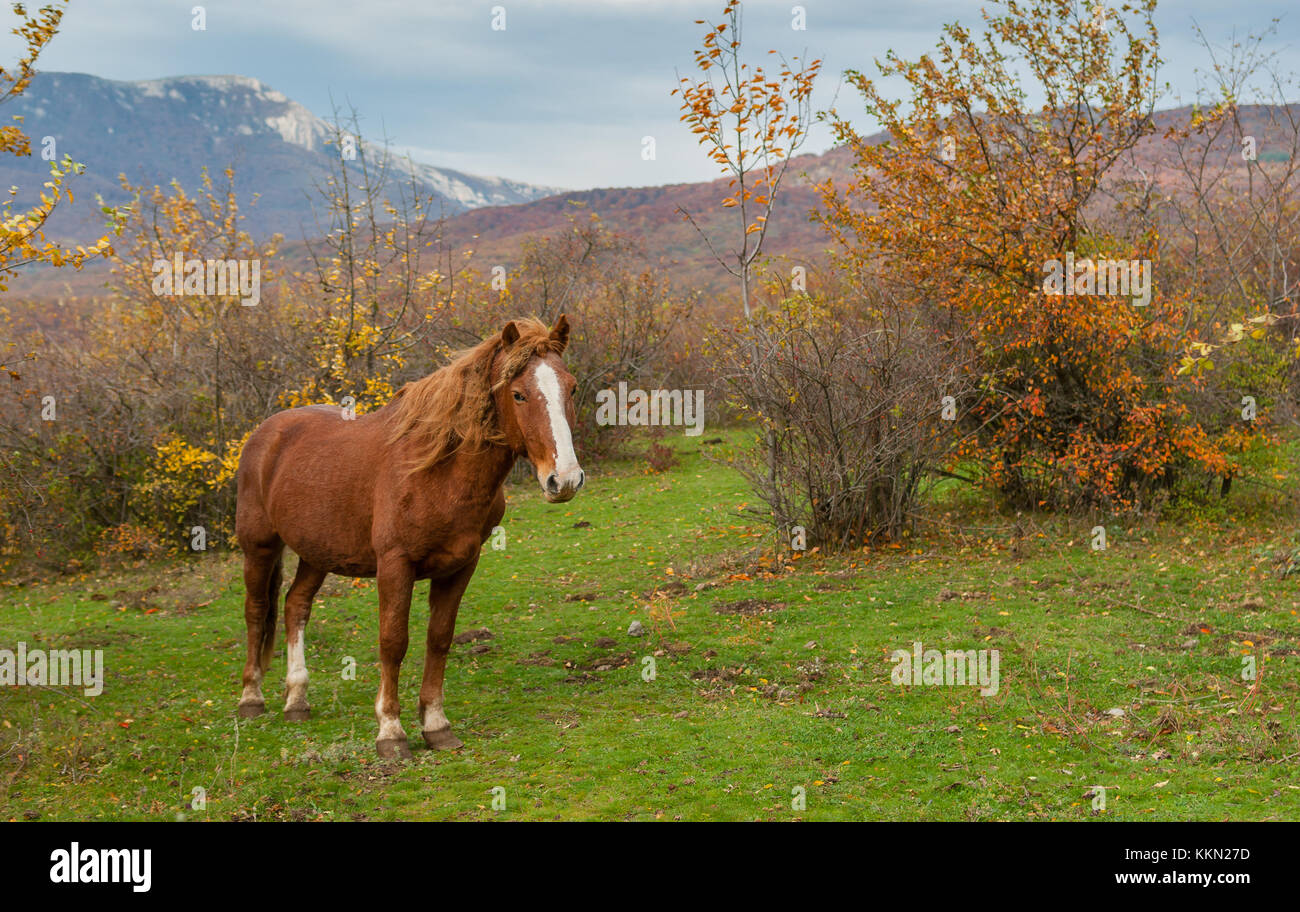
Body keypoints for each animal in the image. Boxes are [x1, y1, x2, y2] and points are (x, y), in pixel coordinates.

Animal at [233, 315, 583, 758]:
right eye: (519, 394)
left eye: (571, 387)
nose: (564, 479)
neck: (436, 471)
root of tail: (266, 432)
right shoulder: (395, 565)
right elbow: (393, 641)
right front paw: (391, 731)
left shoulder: (461, 566)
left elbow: (439, 638)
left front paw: (436, 724)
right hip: (258, 546)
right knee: (257, 610)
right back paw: (251, 698)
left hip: (317, 552)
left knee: (296, 605)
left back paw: (297, 700)